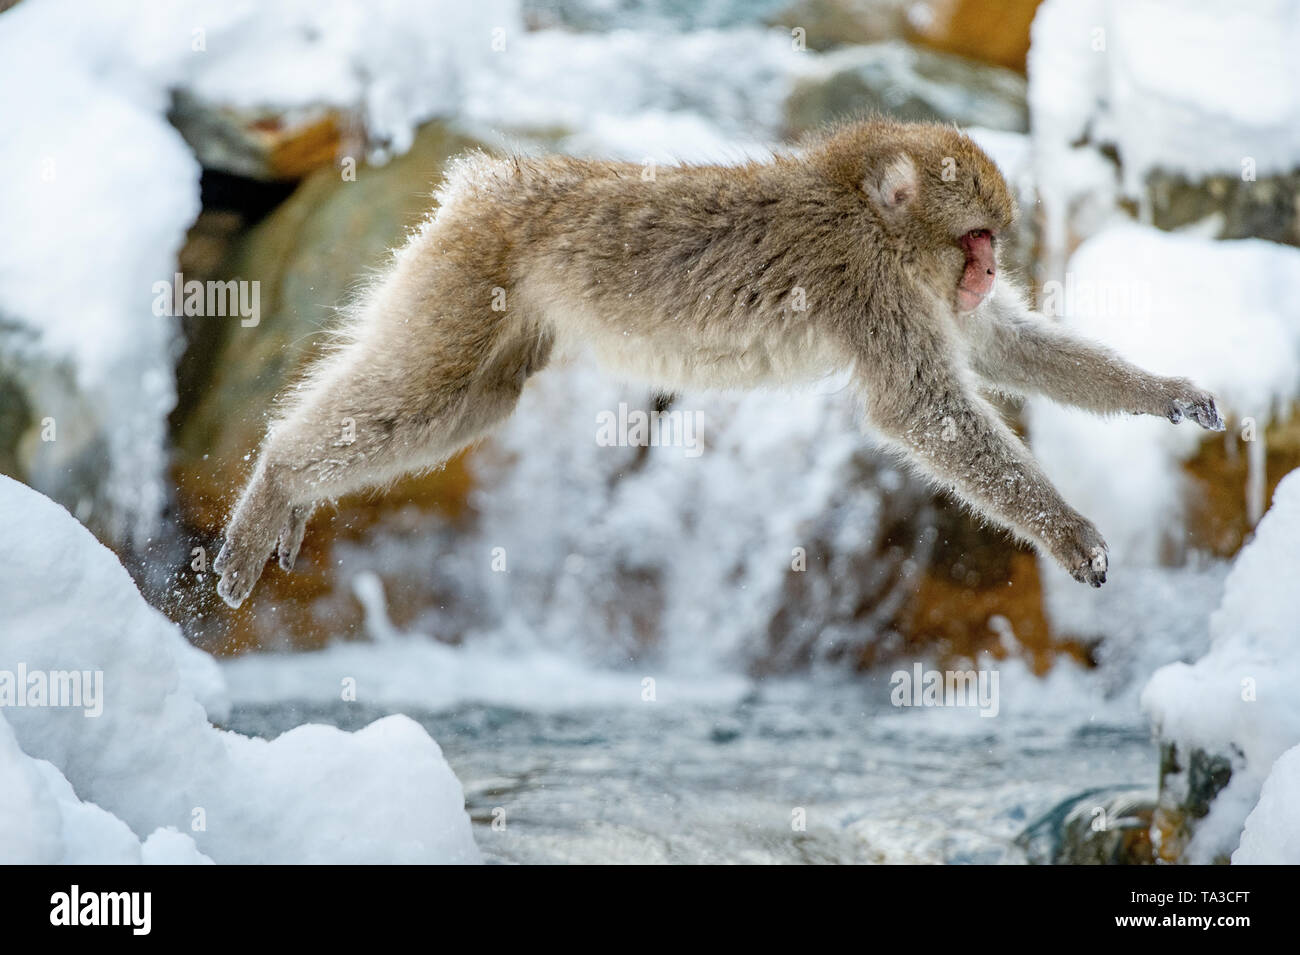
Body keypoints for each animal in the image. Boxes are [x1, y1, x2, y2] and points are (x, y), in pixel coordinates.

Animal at [214, 118, 1224, 609]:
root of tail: (488, 184)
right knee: (426, 392)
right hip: (466, 277)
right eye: (977, 238)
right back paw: (280, 477)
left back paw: (292, 495)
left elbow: (1003, 346)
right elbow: (923, 409)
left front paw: (1170, 395)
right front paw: (1070, 532)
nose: (984, 274)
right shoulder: (872, 288)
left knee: (468, 404)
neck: (868, 213)